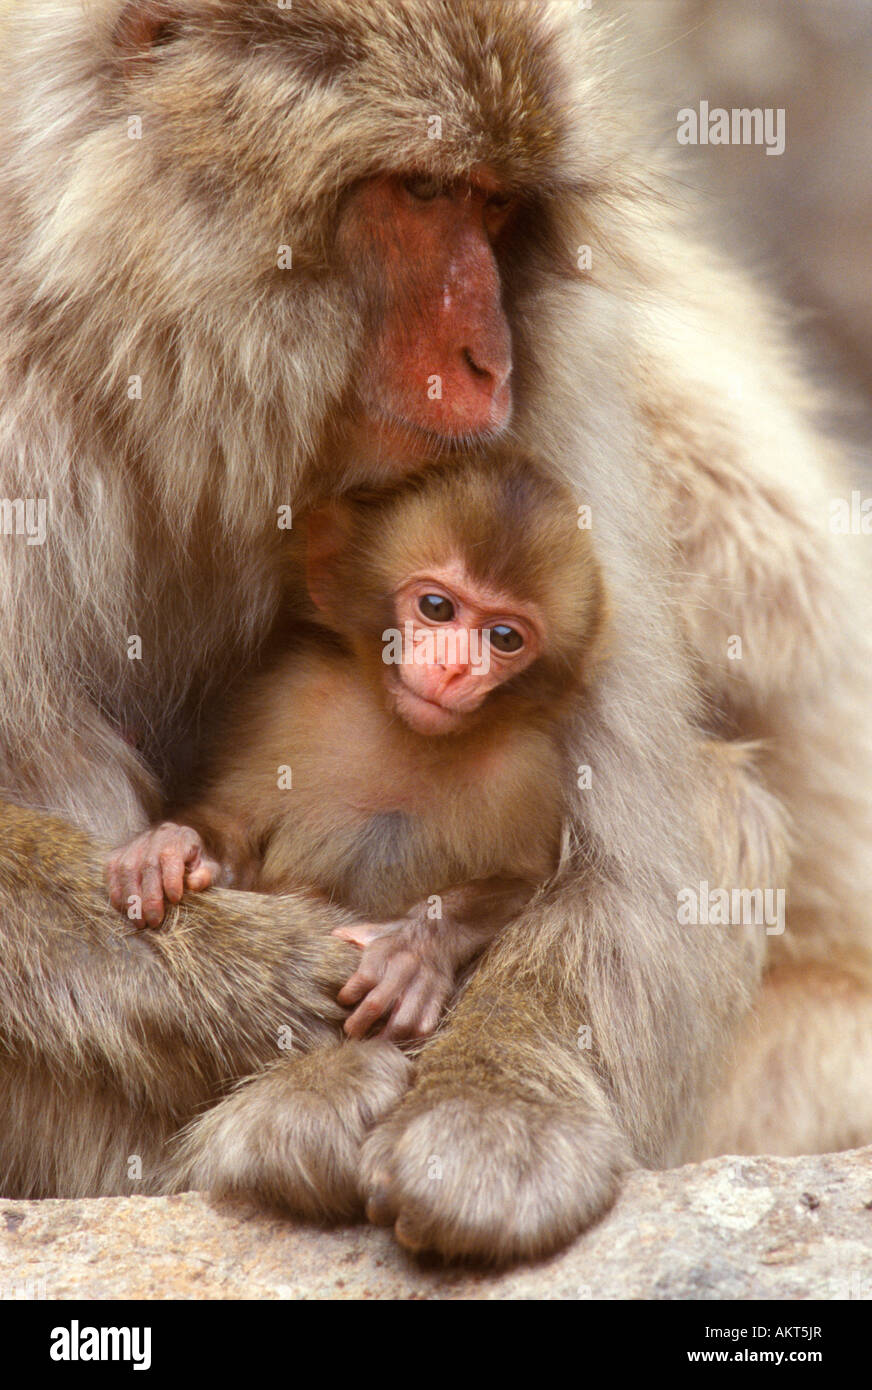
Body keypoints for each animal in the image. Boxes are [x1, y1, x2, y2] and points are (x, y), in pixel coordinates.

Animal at [105, 458, 606, 1044]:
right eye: (437, 607)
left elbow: (533, 885)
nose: (454, 666)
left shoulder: (528, 769)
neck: (403, 733)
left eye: (505, 638)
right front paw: (172, 846)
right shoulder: (290, 701)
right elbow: (234, 831)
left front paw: (416, 951)